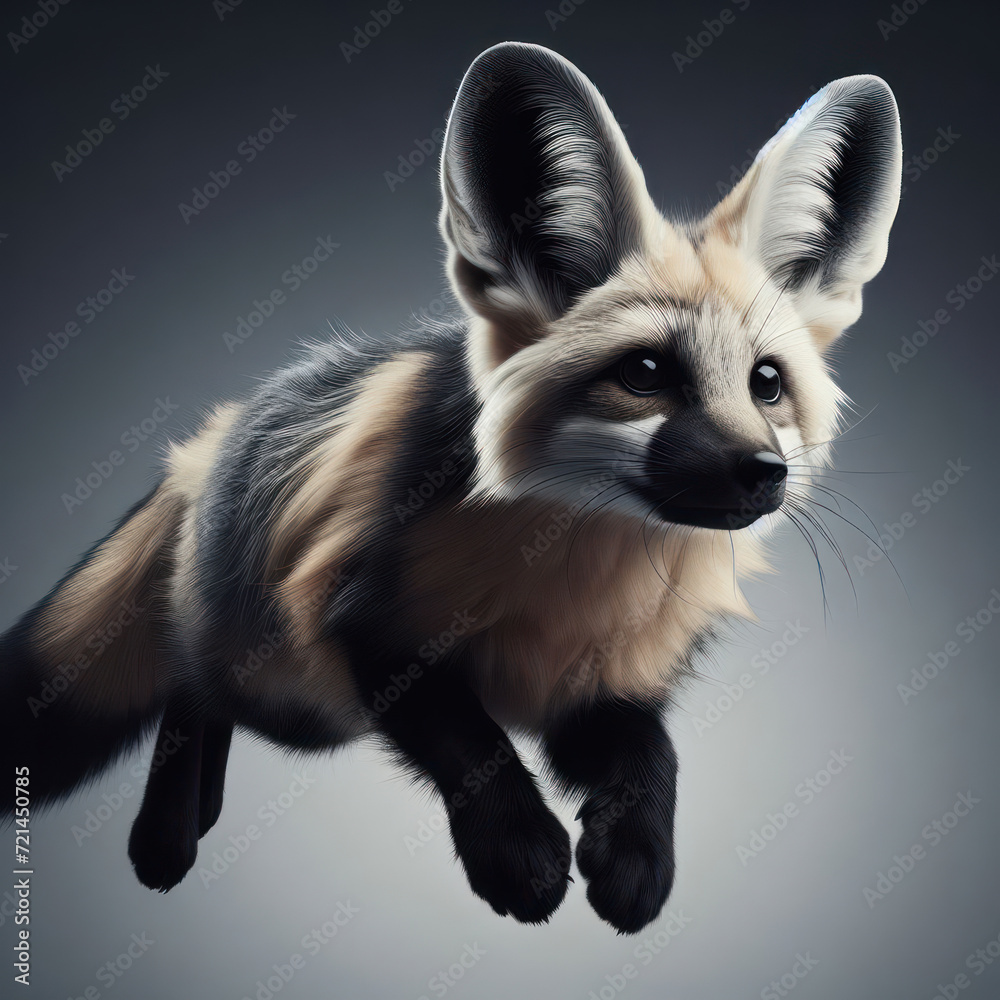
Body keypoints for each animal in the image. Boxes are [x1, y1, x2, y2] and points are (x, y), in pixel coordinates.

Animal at [0, 42, 901, 934]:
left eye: (766, 385)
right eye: (645, 373)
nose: (763, 473)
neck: (581, 581)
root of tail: (217, 431)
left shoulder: (599, 685)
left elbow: (655, 756)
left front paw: (637, 858)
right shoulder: (362, 620)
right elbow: (470, 741)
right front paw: (519, 852)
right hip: (282, 686)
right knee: (188, 687)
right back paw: (168, 836)